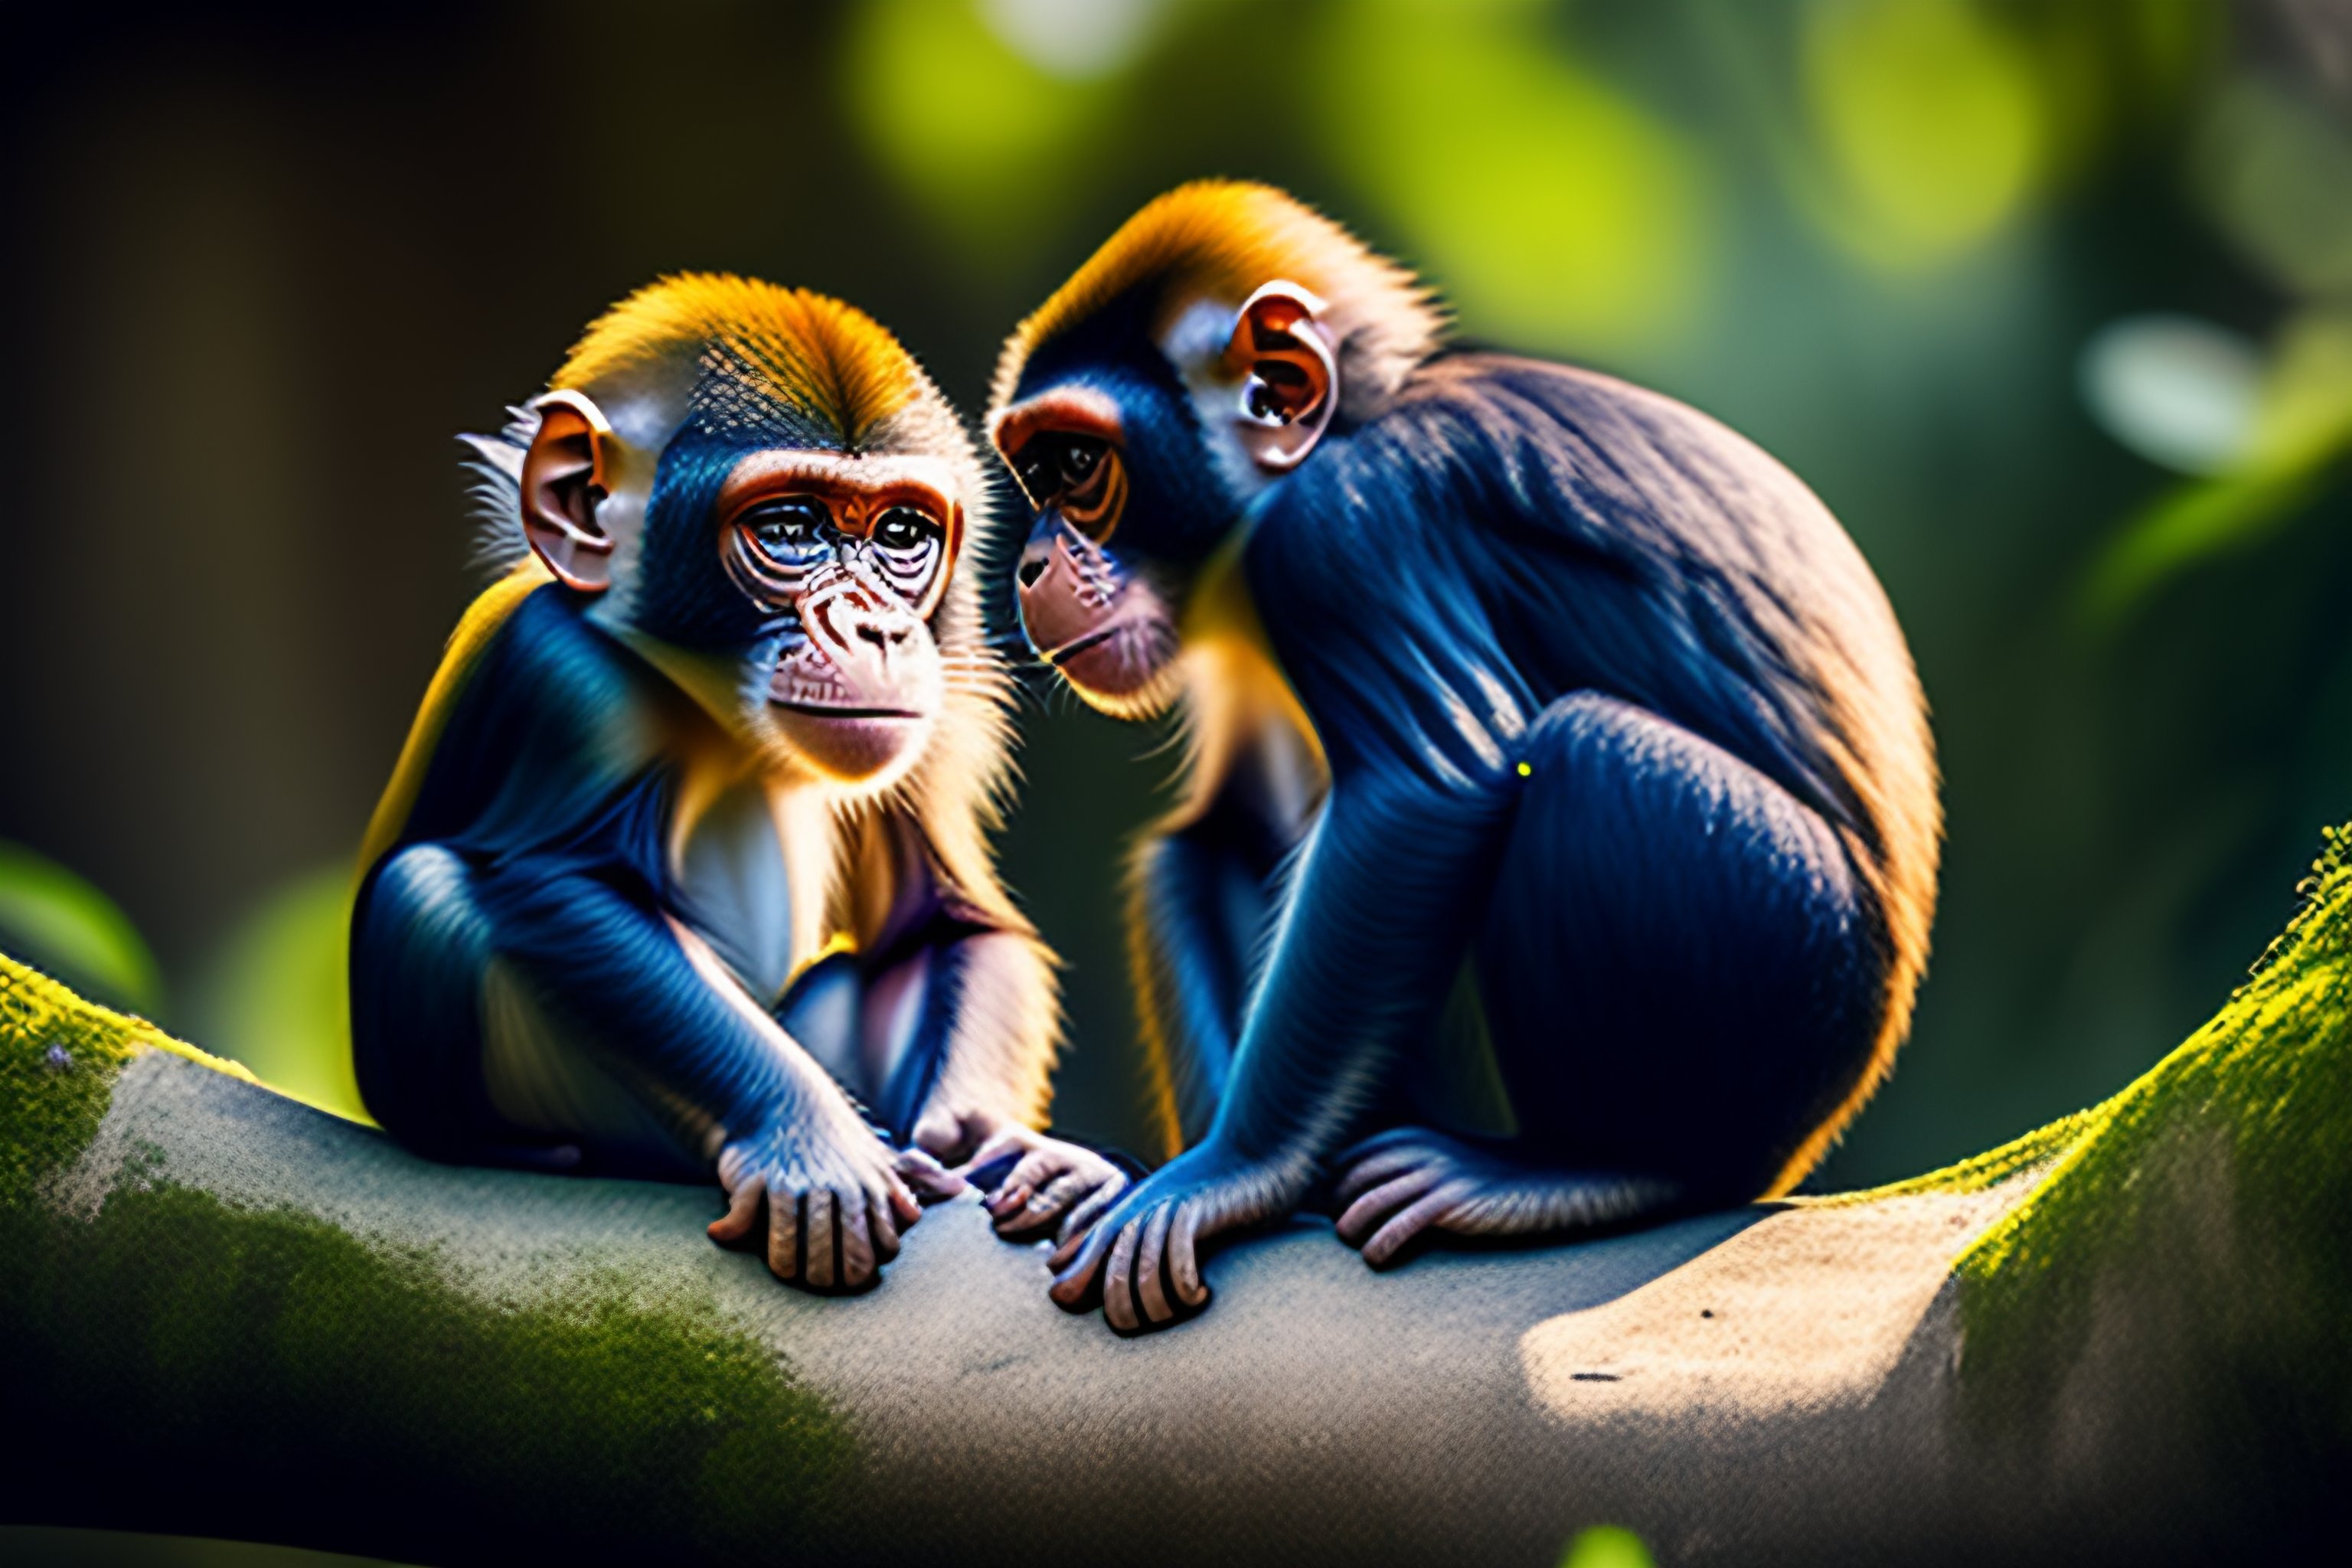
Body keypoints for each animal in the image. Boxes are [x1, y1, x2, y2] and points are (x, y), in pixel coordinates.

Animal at [350, 274, 1126, 1293]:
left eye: (902, 533)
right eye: (790, 529)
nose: (877, 627)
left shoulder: (939, 715)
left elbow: (946, 921)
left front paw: (995, 1140)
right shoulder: (564, 674)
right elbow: (566, 885)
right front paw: (812, 1144)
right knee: (425, 895)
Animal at [984, 182, 1940, 1332]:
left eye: (1079, 468)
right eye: (1032, 472)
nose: (1032, 562)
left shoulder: (1344, 526)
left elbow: (1429, 787)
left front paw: (1223, 1172)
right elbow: (1229, 827)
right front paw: (1137, 1174)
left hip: (1794, 957)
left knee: (1590, 749)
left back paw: (1590, 1169)